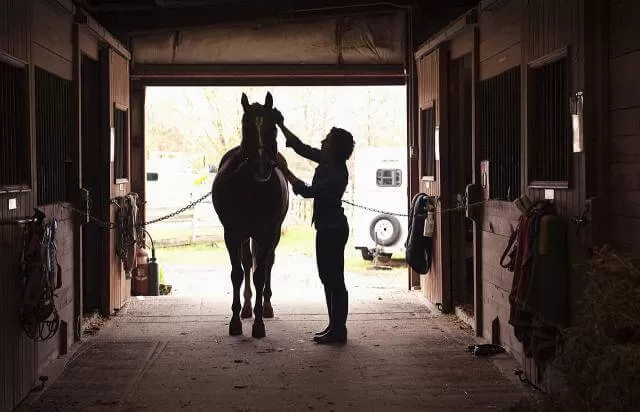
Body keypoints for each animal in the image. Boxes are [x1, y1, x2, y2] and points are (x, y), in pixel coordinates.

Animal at [211, 91, 288, 338]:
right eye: (246, 127)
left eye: (273, 127)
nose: (262, 167)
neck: (253, 191)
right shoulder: (232, 234)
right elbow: (237, 273)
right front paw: (235, 321)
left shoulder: (267, 233)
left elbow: (260, 275)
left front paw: (259, 324)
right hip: (245, 235)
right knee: (247, 263)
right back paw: (246, 309)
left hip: (270, 235)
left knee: (267, 264)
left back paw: (266, 307)